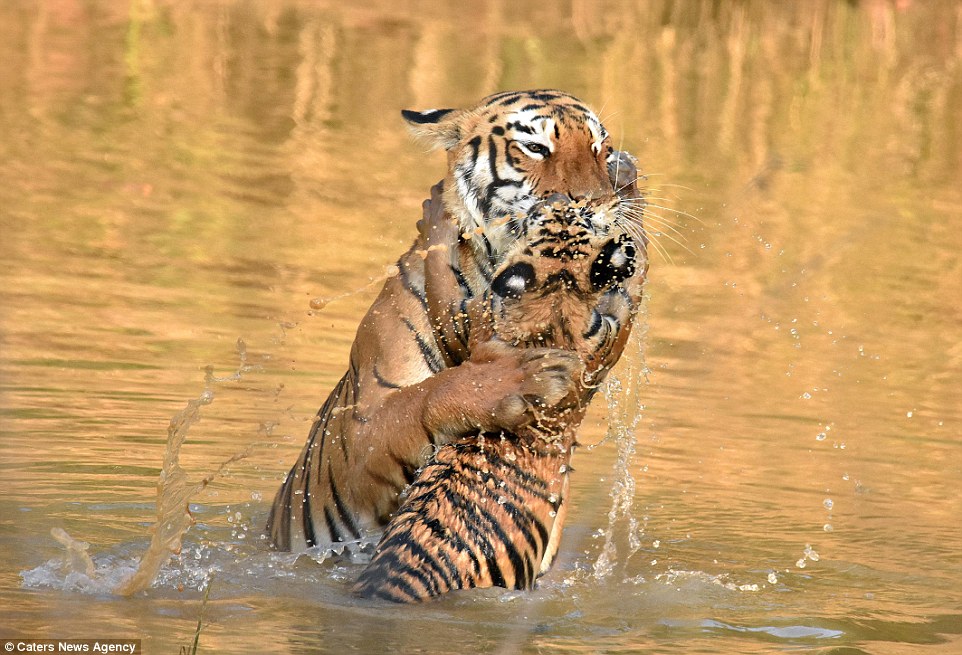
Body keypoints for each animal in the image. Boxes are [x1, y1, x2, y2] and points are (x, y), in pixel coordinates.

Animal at [267, 89, 645, 552]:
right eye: (535, 147)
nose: (597, 204)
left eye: (599, 148)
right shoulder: (361, 425)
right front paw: (515, 380)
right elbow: (425, 396)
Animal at [352, 188, 648, 603]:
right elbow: (627, 299)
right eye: (559, 216)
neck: (551, 304)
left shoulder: (472, 320)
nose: (556, 197)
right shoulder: (601, 342)